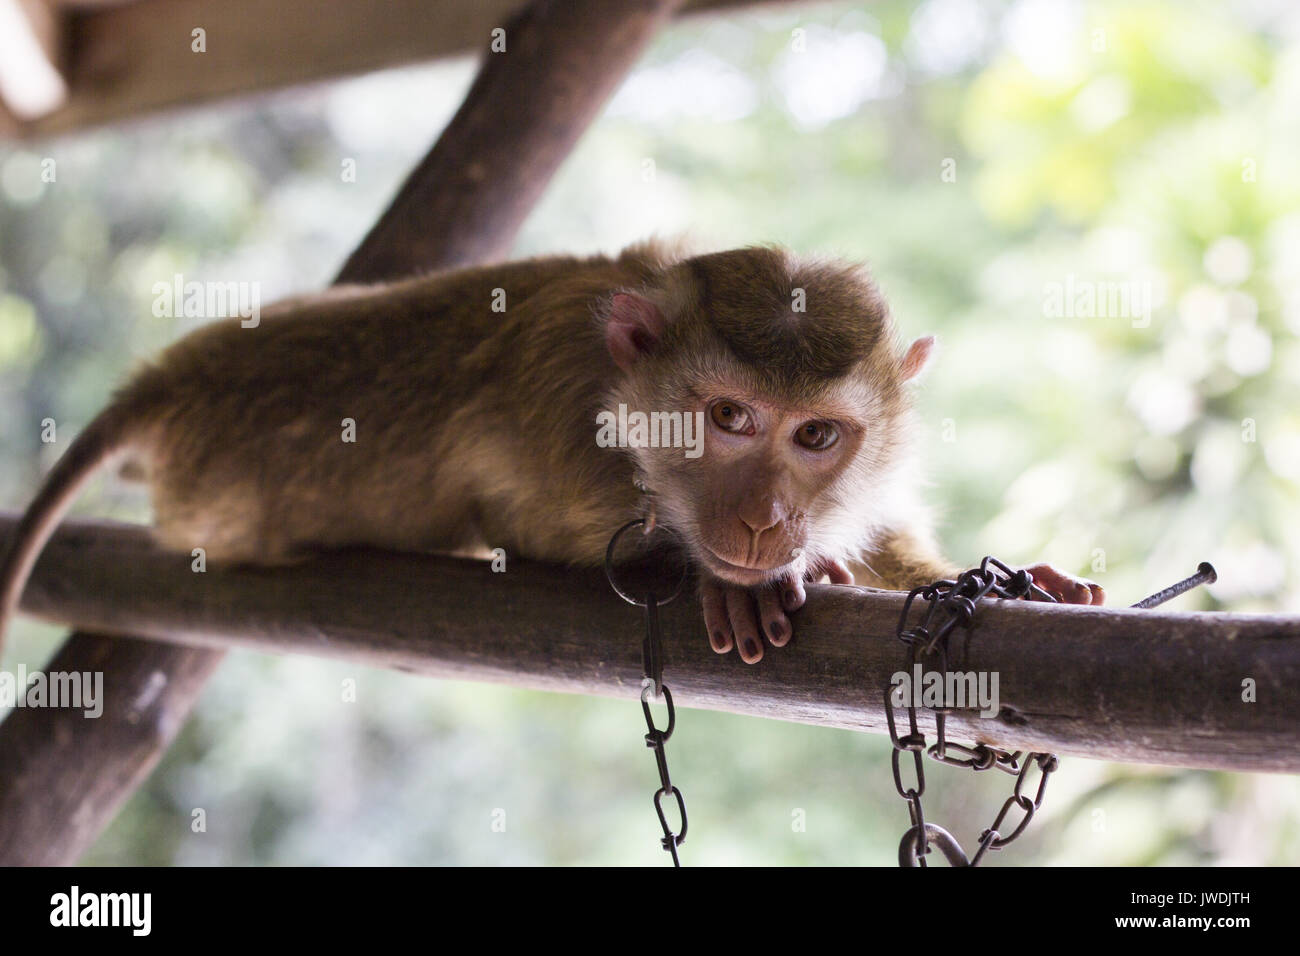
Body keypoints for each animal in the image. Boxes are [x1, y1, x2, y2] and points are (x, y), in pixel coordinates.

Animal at [0, 240, 1103, 669]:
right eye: (730, 416)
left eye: (817, 434)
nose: (763, 520)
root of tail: (168, 380)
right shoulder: (559, 420)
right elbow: (529, 531)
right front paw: (737, 579)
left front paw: (992, 576)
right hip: (215, 501)